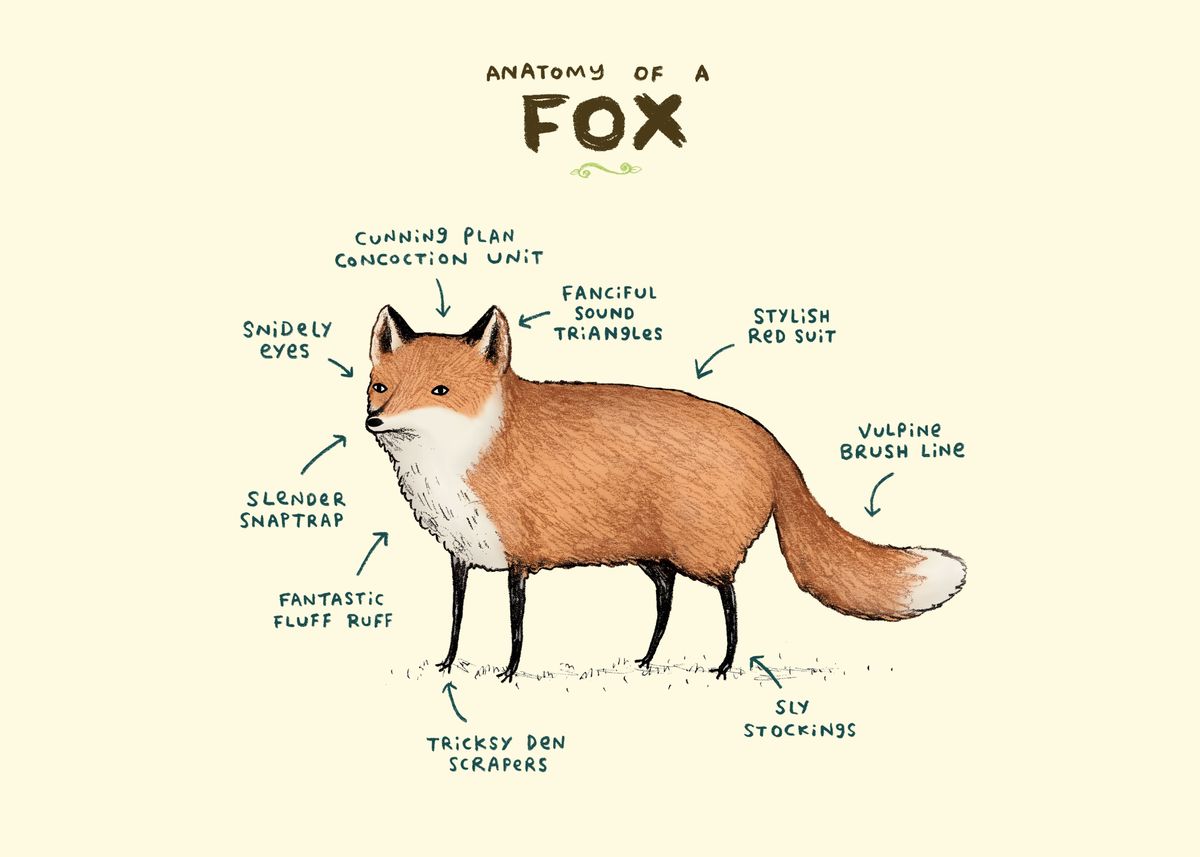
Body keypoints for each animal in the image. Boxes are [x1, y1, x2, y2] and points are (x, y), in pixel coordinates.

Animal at [365, 305, 966, 682]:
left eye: (440, 390)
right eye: (381, 387)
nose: (374, 420)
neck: (468, 454)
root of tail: (765, 437)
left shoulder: (518, 558)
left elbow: (514, 627)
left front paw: (509, 674)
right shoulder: (462, 554)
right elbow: (456, 619)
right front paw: (447, 666)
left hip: (704, 555)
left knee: (730, 600)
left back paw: (724, 666)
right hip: (657, 558)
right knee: (666, 603)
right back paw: (647, 661)